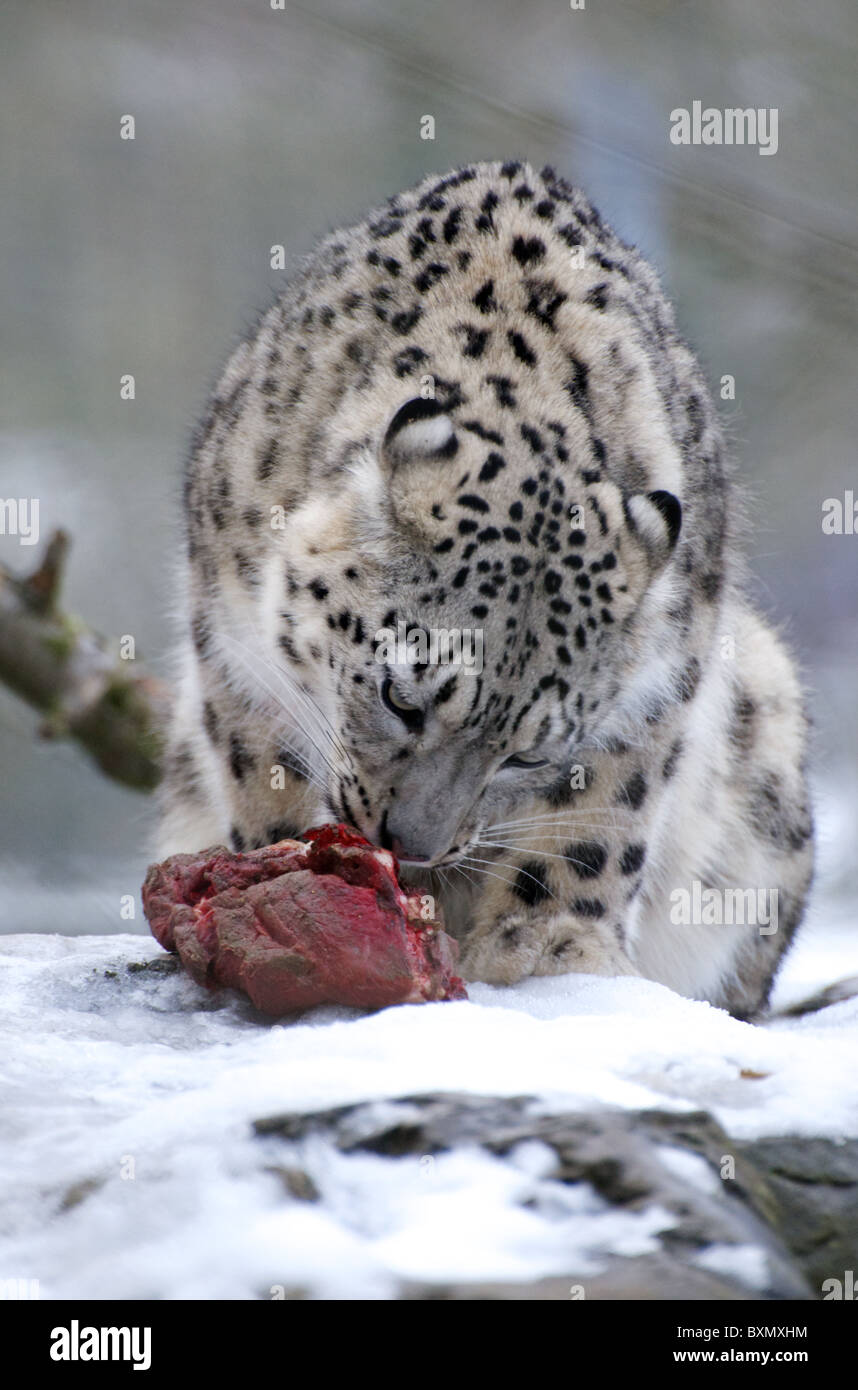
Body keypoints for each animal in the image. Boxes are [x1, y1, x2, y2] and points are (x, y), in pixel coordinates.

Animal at [157, 159, 812, 1023]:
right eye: (401, 697)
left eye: (525, 753)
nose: (410, 846)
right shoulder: (234, 648)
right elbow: (266, 772)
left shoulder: (665, 676)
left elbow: (595, 819)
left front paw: (548, 947)